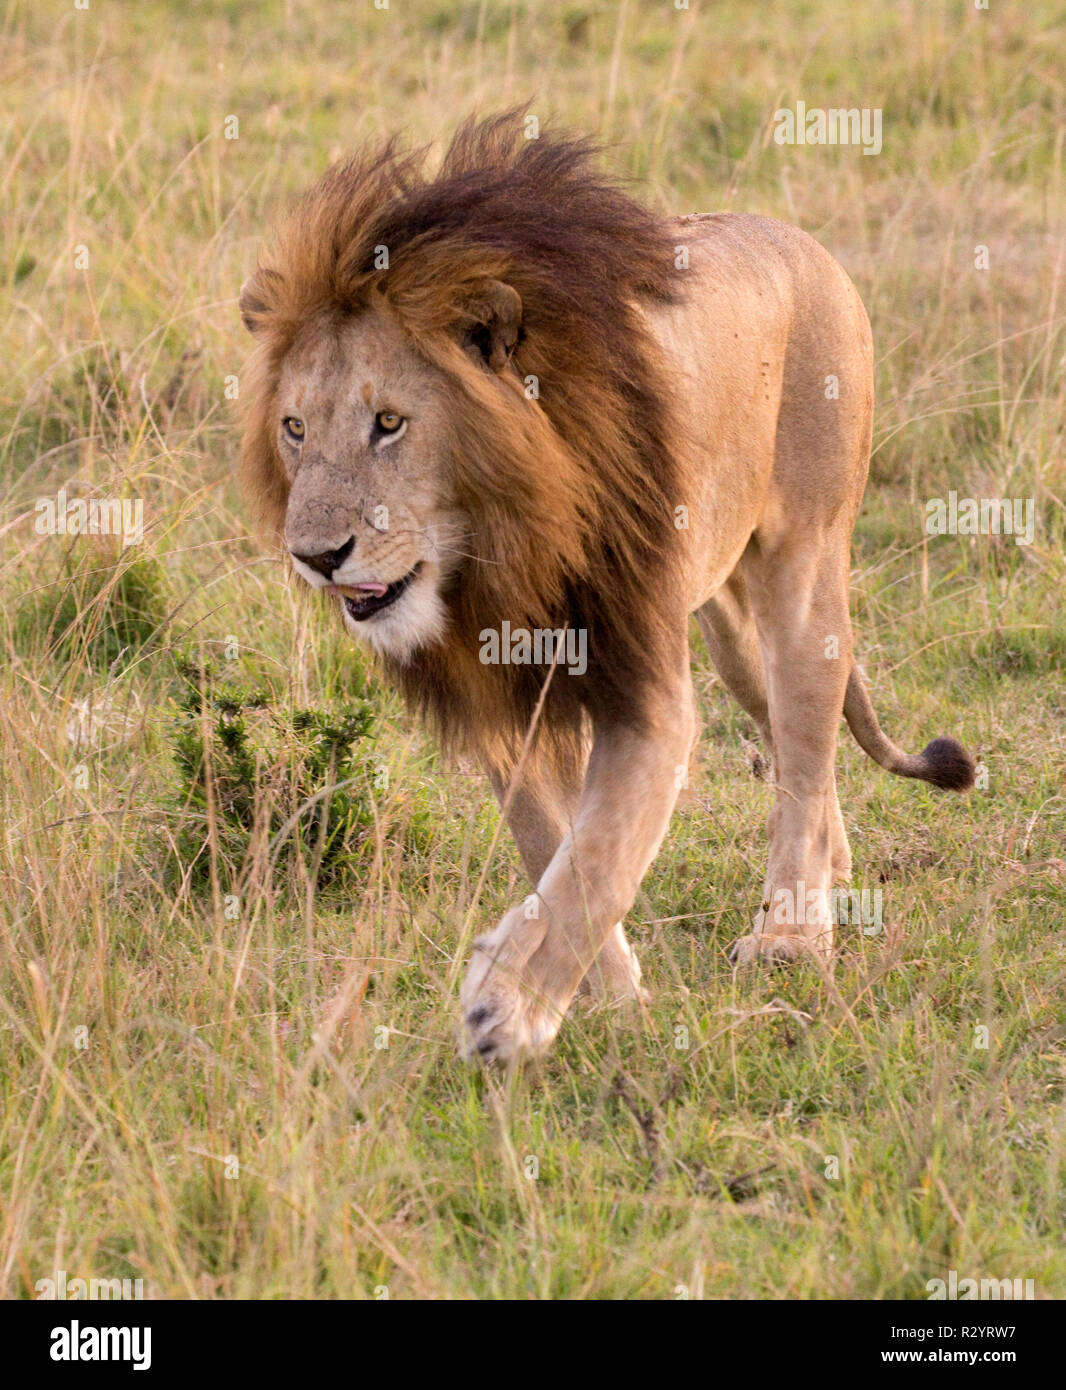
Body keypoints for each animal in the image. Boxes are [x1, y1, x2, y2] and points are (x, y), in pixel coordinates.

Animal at [238, 112, 974, 1063]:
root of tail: (805, 243)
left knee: (808, 741)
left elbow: (598, 852)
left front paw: (506, 1006)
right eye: (294, 428)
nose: (316, 556)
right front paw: (604, 997)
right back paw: (833, 871)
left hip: (804, 566)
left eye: (389, 423)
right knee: (791, 742)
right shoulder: (504, 704)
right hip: (731, 633)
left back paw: (792, 933)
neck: (493, 552)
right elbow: (554, 848)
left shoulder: (642, 688)